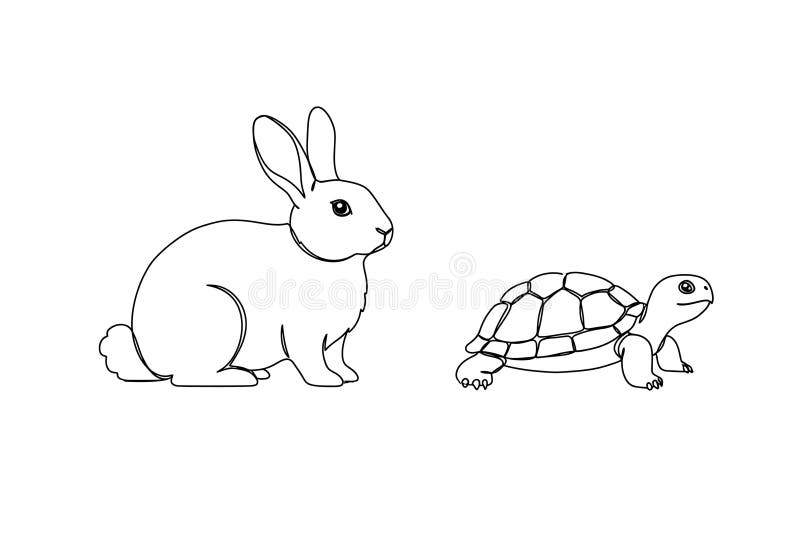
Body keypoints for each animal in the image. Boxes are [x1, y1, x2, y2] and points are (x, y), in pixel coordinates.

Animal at [99, 107, 393, 387]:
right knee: (188, 377)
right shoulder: (302, 333)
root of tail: (146, 357)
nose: (387, 231)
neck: (319, 258)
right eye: (340, 207)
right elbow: (311, 359)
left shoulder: (336, 339)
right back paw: (240, 378)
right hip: (221, 314)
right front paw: (327, 381)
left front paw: (348, 375)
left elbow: (336, 357)